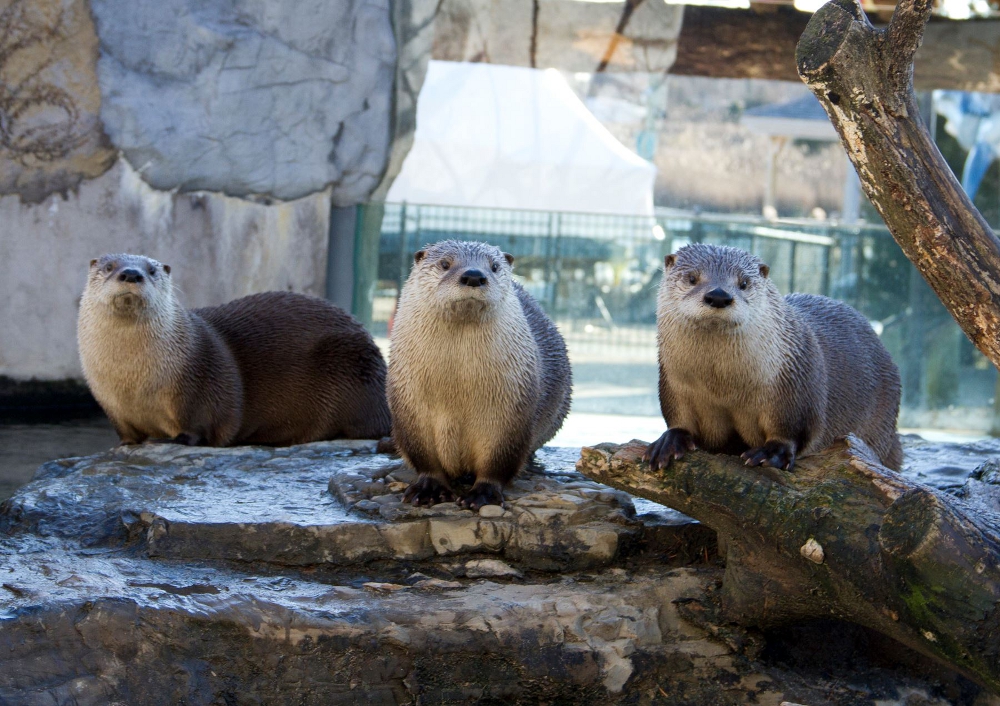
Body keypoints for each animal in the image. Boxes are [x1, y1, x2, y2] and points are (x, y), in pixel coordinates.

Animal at [78, 253, 391, 446]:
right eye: (108, 267)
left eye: (152, 271)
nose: (131, 274)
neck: (132, 381)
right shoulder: (111, 403)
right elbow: (126, 435)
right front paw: (125, 445)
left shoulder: (197, 384)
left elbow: (200, 426)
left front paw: (173, 440)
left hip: (350, 366)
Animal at [388, 240, 572, 510]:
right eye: (445, 264)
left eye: (494, 266)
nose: (474, 275)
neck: (456, 387)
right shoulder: (409, 406)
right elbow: (423, 455)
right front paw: (429, 488)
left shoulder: (510, 411)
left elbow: (498, 460)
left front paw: (482, 494)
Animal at [645, 243, 902, 472]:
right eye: (692, 278)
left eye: (744, 283)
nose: (718, 295)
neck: (723, 385)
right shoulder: (674, 383)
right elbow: (678, 417)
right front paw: (670, 441)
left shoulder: (794, 386)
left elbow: (791, 431)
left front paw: (771, 453)